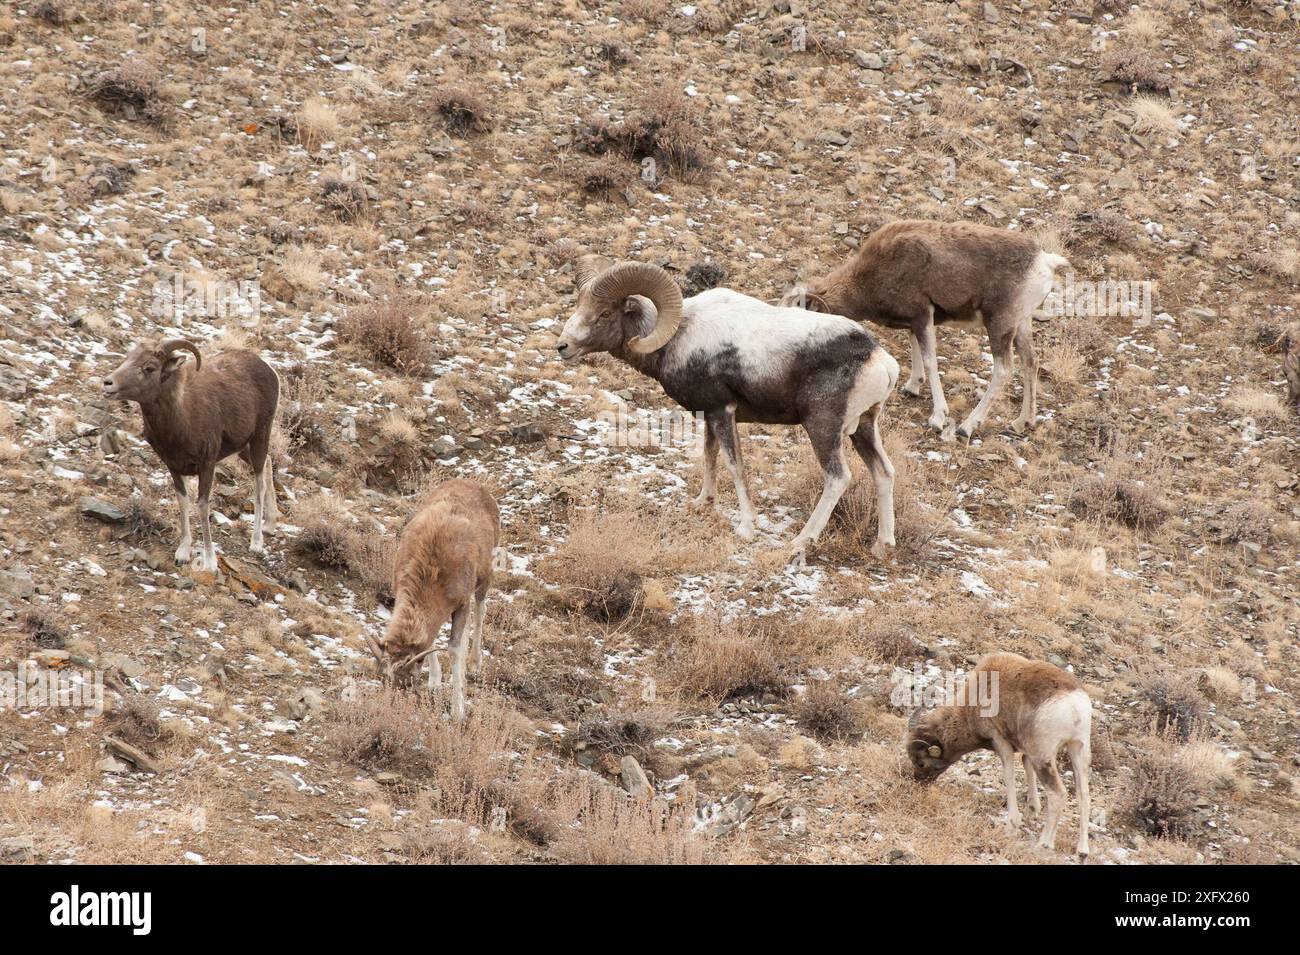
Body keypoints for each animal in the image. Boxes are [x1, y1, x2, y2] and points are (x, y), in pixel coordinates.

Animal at [102, 339, 279, 573]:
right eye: (128, 359)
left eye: (149, 368)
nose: (107, 384)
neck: (181, 419)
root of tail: (268, 369)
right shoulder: (173, 467)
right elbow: (183, 502)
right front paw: (183, 554)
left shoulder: (207, 464)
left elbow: (203, 506)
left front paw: (210, 562)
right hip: (242, 448)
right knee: (268, 464)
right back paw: (270, 525)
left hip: (260, 436)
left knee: (259, 483)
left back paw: (257, 541)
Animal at [363, 479, 499, 722]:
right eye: (385, 680)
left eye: (407, 683)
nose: (393, 707)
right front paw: (435, 682)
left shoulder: (461, 603)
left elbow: (454, 649)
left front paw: (458, 712)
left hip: (484, 581)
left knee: (480, 612)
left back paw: (474, 665)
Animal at [556, 254, 900, 563]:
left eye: (604, 312)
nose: (563, 347)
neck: (678, 337)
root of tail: (879, 360)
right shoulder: (708, 414)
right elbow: (709, 455)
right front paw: (703, 503)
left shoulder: (723, 411)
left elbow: (735, 466)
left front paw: (746, 528)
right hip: (863, 428)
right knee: (883, 472)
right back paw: (882, 546)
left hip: (823, 428)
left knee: (838, 478)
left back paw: (800, 542)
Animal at [782, 219, 1069, 440]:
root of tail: (1045, 261)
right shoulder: (916, 322)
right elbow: (916, 351)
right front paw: (912, 387)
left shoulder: (923, 316)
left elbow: (930, 362)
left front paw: (937, 419)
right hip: (1021, 325)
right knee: (1031, 362)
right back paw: (1022, 423)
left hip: (999, 326)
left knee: (1004, 370)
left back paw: (967, 427)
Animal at [906, 652, 1092, 857]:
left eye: (921, 763)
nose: (918, 783)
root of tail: (1074, 705)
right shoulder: (1025, 750)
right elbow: (1026, 766)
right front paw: (1032, 810)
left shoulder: (1001, 742)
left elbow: (1009, 776)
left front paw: (1011, 827)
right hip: (1078, 750)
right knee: (1083, 795)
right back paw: (1082, 850)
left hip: (1043, 757)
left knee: (1058, 794)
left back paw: (1044, 844)